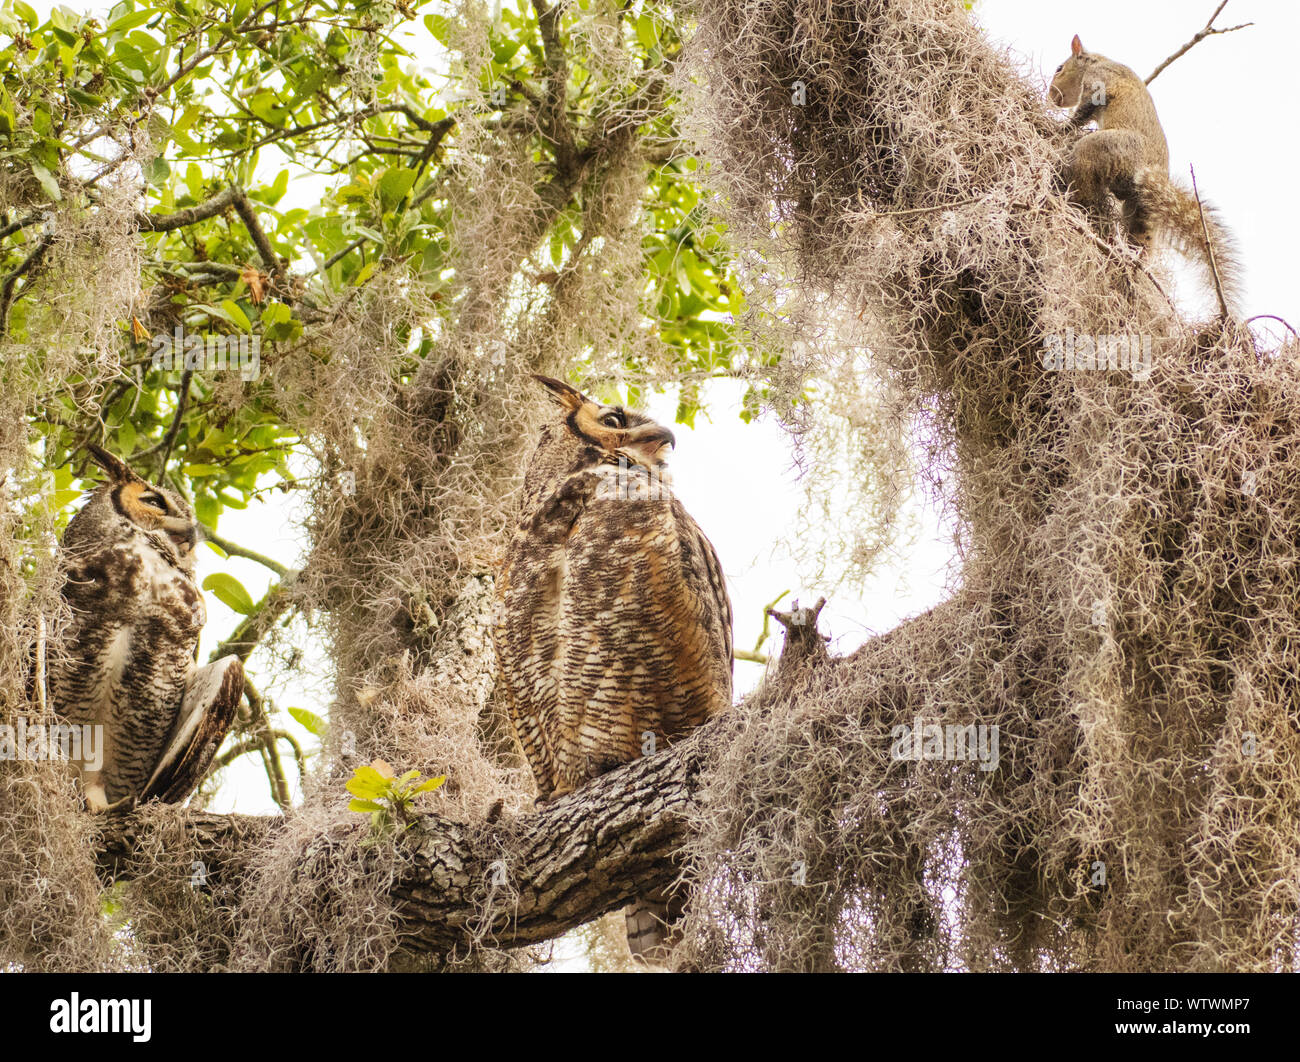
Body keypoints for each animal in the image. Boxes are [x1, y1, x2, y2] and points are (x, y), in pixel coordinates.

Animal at [1048, 34, 1239, 313]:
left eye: (1059, 69)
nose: (1052, 97)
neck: (1098, 62)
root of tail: (1151, 175)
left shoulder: (1099, 83)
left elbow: (1082, 113)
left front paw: (1062, 128)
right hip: (1139, 213)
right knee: (1140, 243)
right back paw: (1132, 266)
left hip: (1110, 148)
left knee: (1085, 173)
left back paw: (1075, 200)